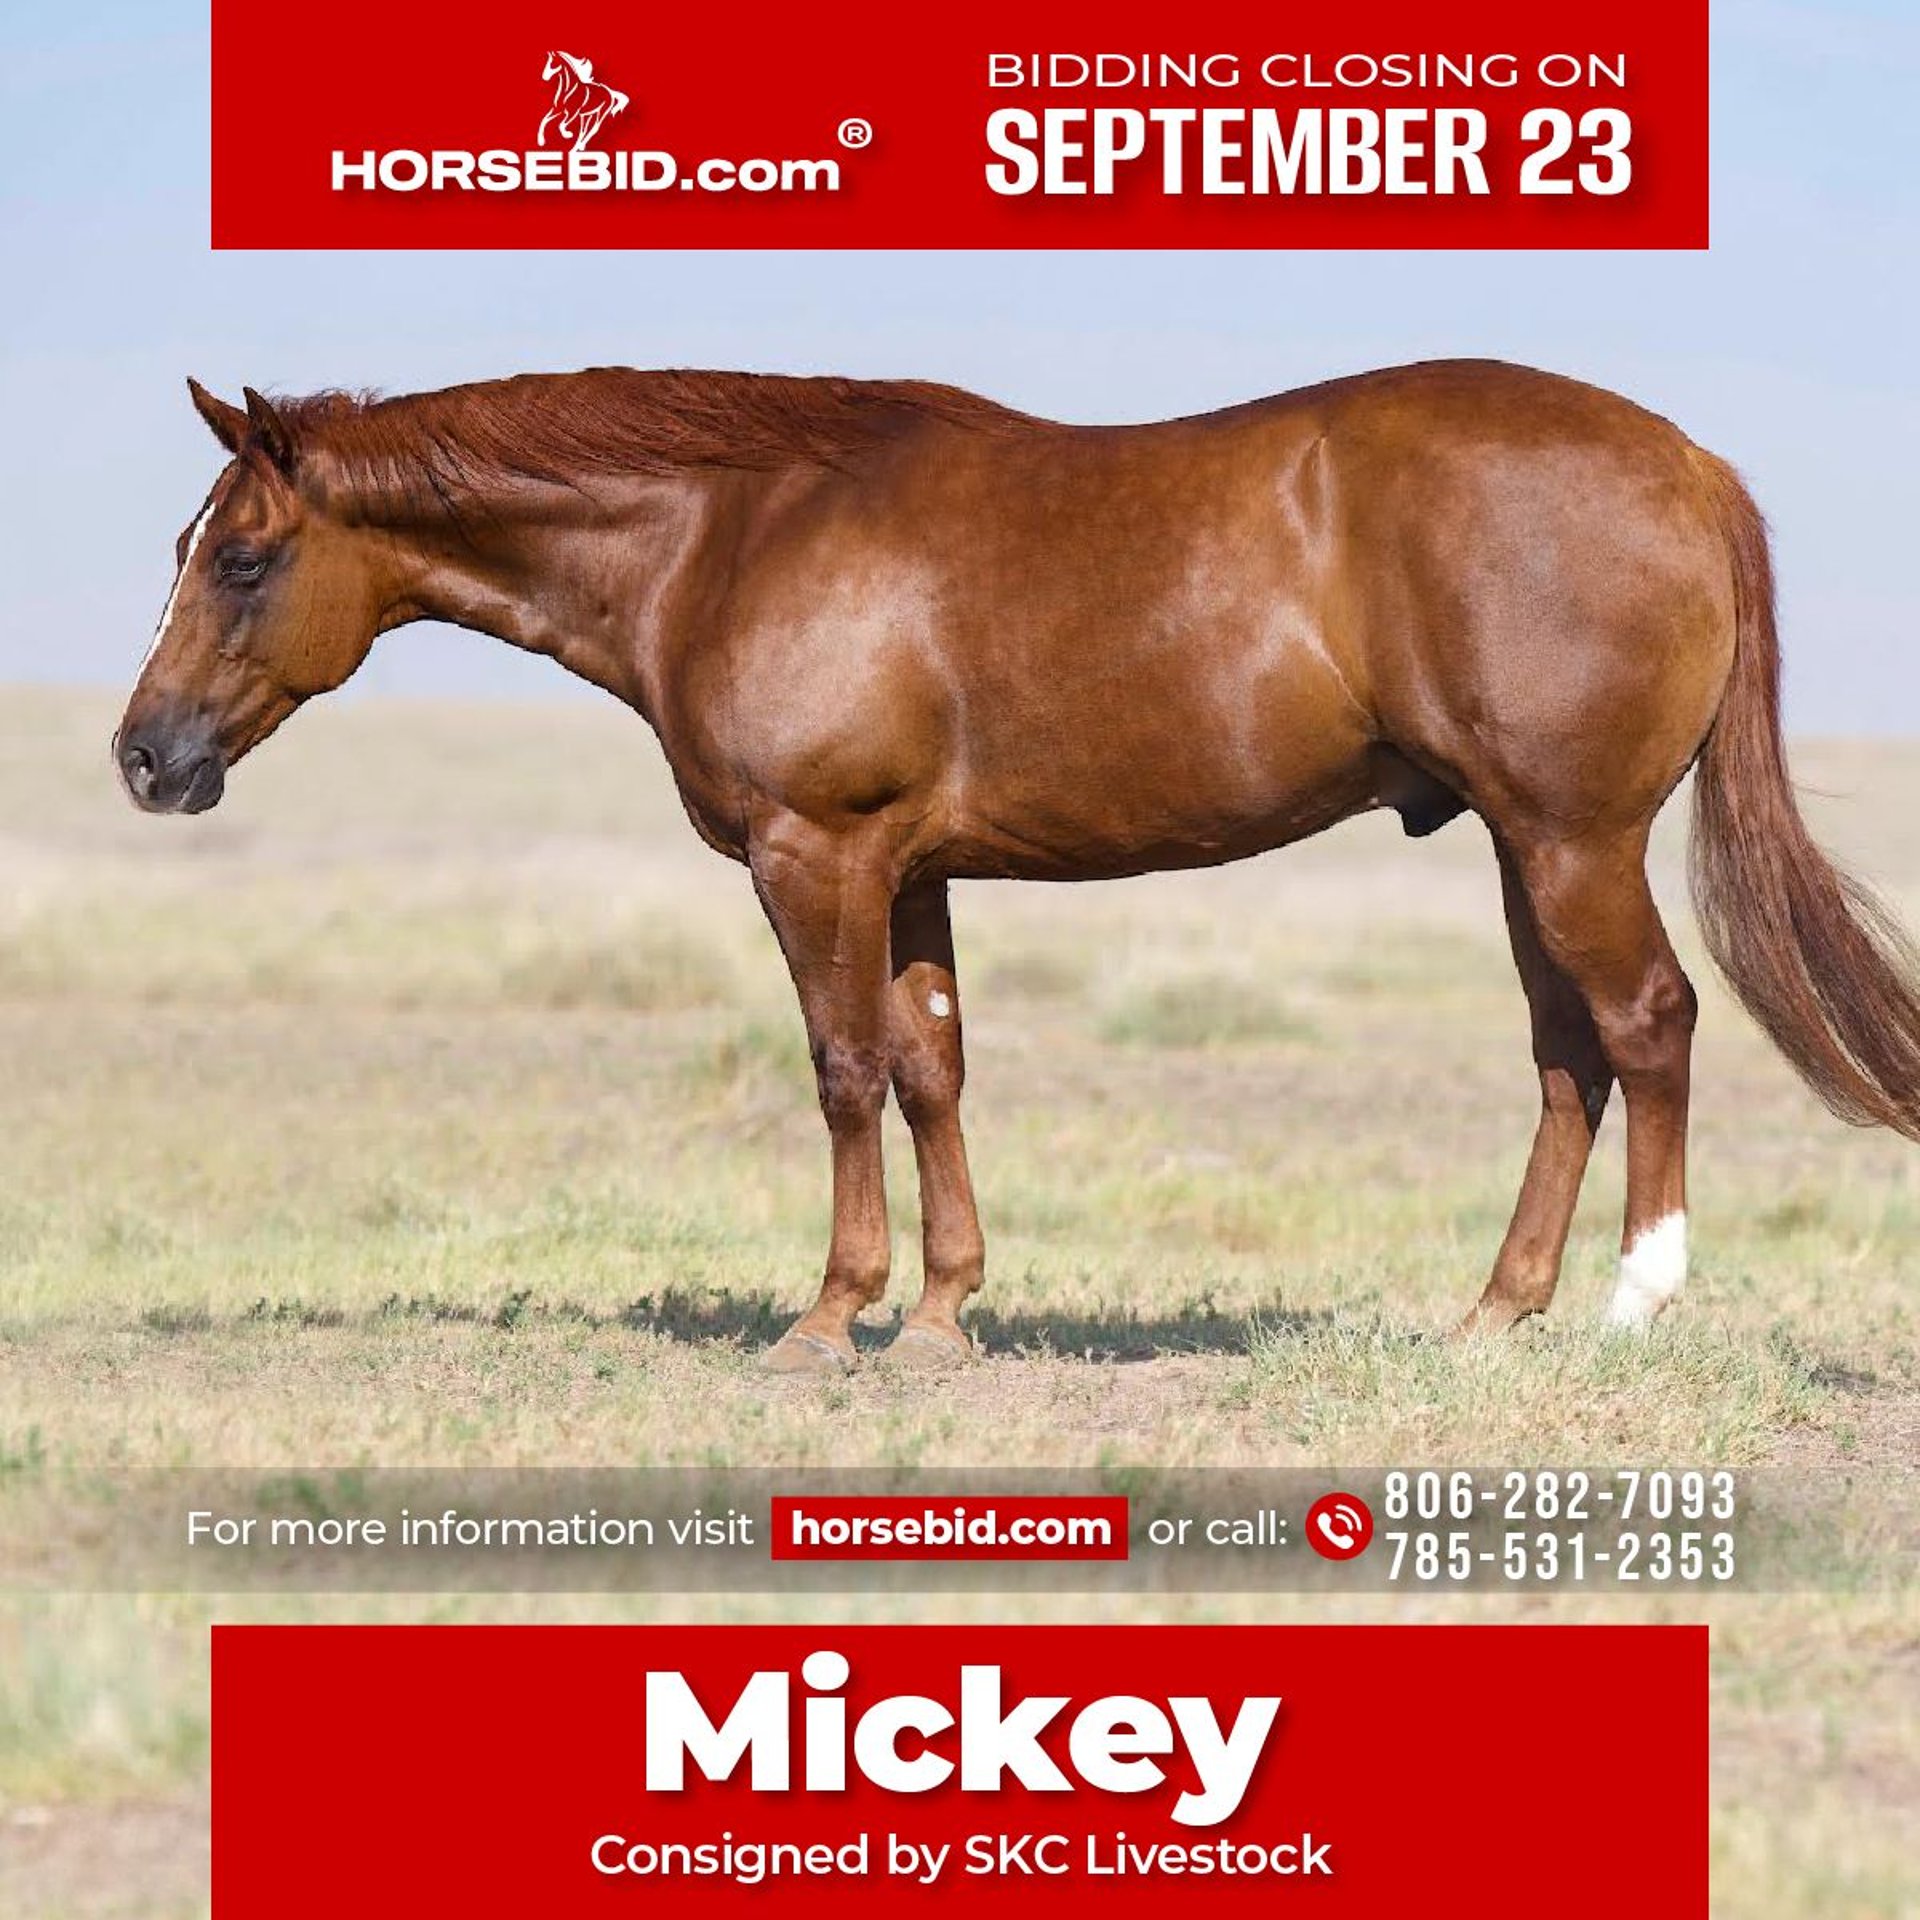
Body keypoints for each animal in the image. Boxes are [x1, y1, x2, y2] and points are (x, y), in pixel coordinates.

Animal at [114, 362, 1920, 1375]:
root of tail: (1689, 467)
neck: (731, 533)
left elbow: (845, 1070)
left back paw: (1635, 1301)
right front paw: (941, 1313)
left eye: (247, 558)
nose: (144, 755)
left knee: (1649, 1025)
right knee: (1570, 1056)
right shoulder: (909, 870)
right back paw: (1493, 1317)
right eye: (189, 547)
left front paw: (829, 1319)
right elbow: (933, 1069)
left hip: (1568, 838)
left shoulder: (815, 853)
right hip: (1520, 847)